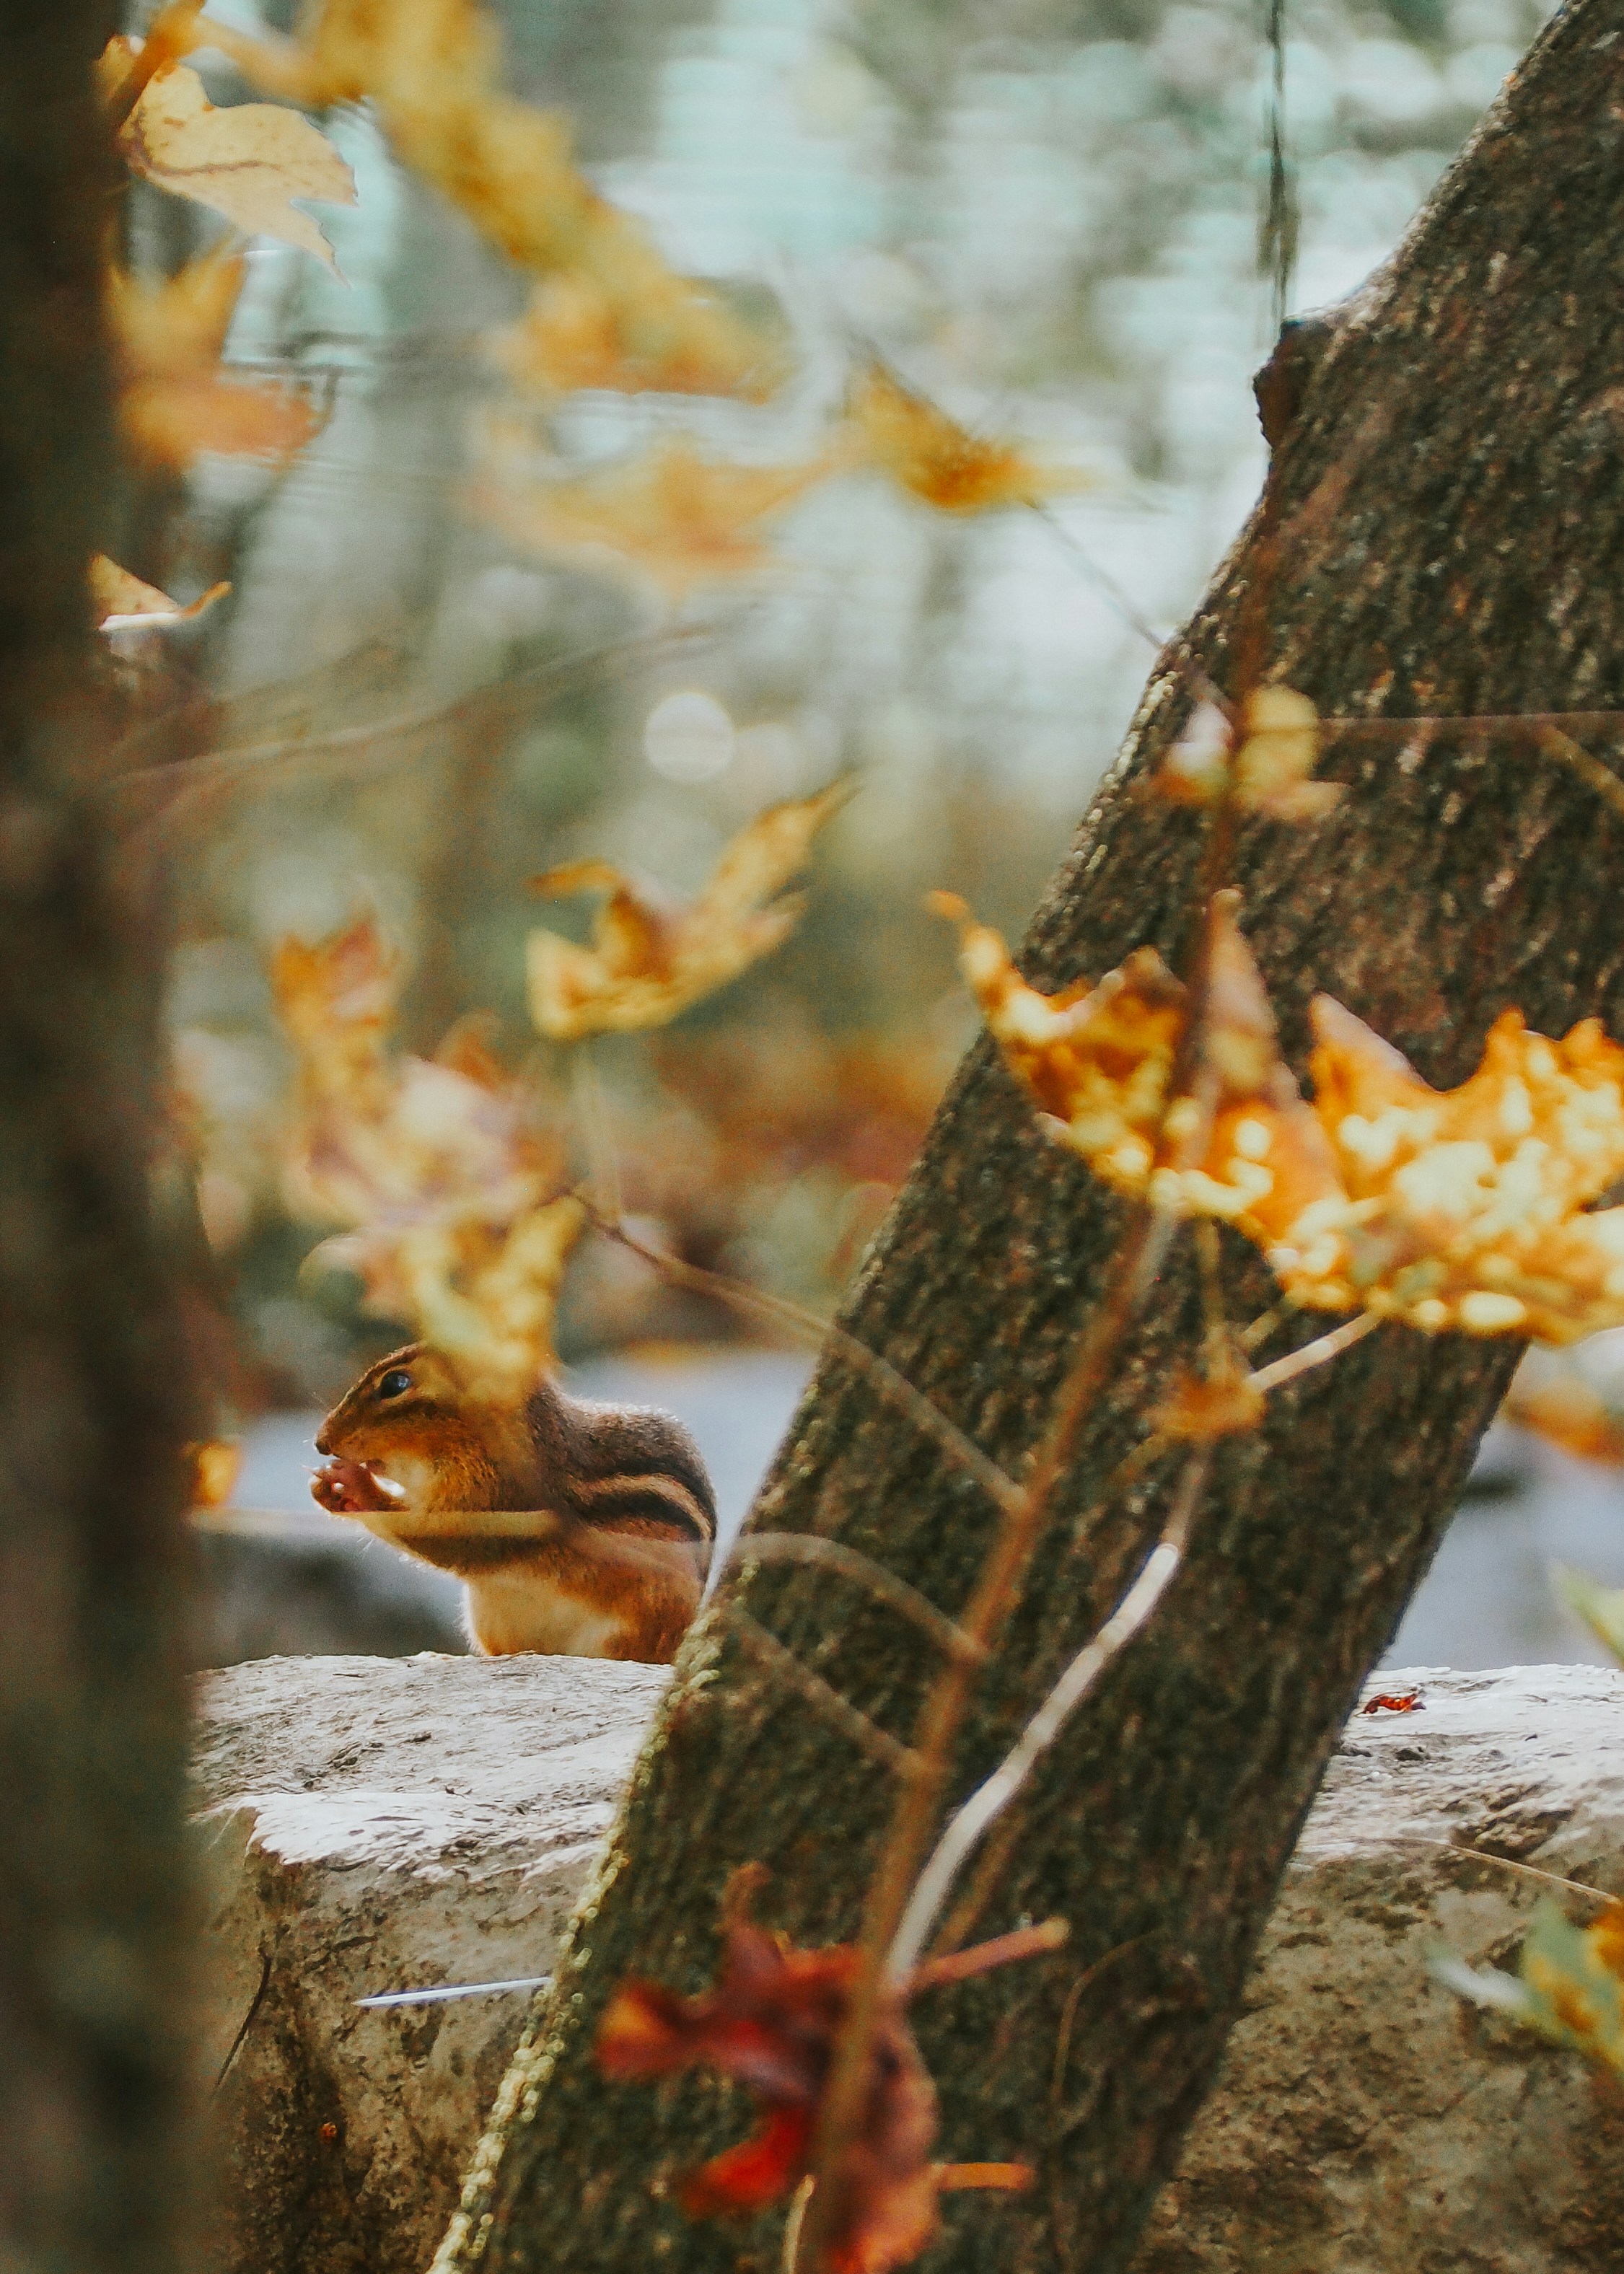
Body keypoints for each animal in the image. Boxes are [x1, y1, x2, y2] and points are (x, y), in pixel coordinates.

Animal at [310, 1343, 716, 1663]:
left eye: (395, 1384)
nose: (321, 1442)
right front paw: (327, 1491)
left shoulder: (500, 1501)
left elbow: (445, 1539)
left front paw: (355, 1486)